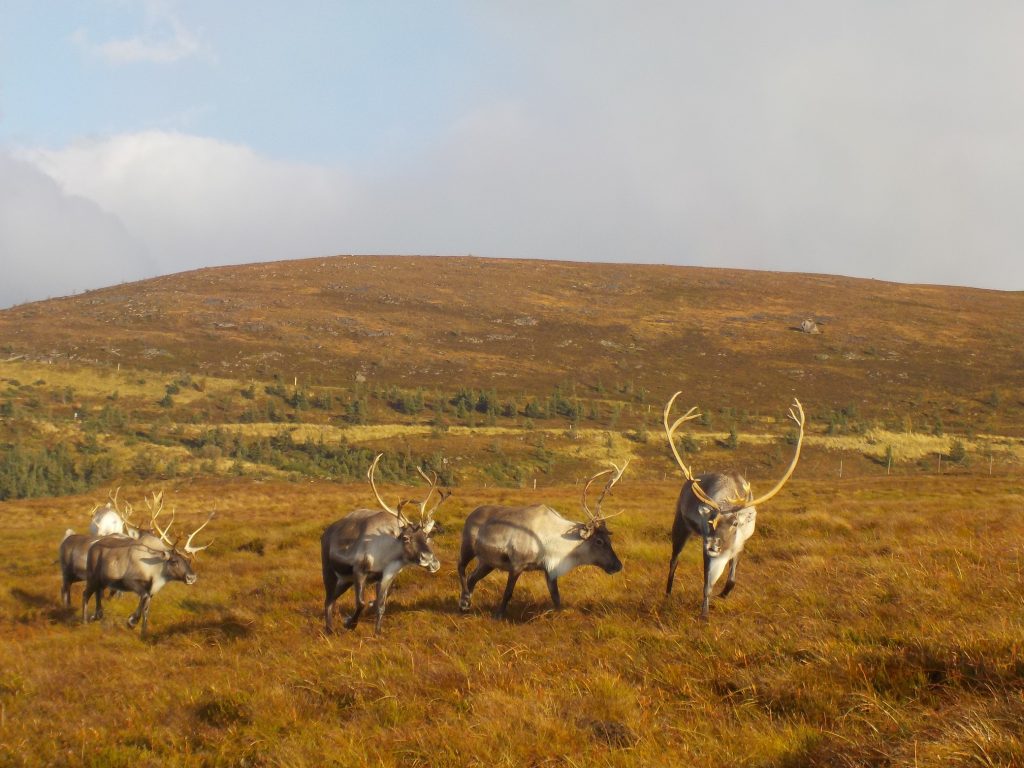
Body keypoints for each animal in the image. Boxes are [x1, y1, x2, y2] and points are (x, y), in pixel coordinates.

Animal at [321, 454, 449, 635]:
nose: (432, 561)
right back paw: (329, 629)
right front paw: (349, 623)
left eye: (427, 536)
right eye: (406, 538)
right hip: (329, 571)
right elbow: (361, 602)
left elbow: (380, 605)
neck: (388, 553)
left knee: (332, 599)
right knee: (328, 600)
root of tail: (326, 533)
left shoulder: (387, 576)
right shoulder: (359, 571)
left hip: (345, 580)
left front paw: (377, 633)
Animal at [458, 461, 628, 618]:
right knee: (461, 568)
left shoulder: (549, 568)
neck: (552, 539)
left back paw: (466, 605)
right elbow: (508, 592)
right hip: (467, 547)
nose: (618, 565)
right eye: (599, 541)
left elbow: (556, 597)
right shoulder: (517, 565)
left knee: (472, 578)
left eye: (608, 539)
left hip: (488, 562)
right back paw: (464, 602)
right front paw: (498, 615)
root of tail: (471, 514)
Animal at [663, 392, 805, 620]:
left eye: (736, 523)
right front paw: (704, 614)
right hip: (680, 526)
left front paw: (723, 595)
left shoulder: (739, 545)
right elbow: (707, 584)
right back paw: (667, 593)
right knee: (674, 561)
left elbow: (731, 579)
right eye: (709, 521)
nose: (713, 545)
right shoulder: (707, 547)